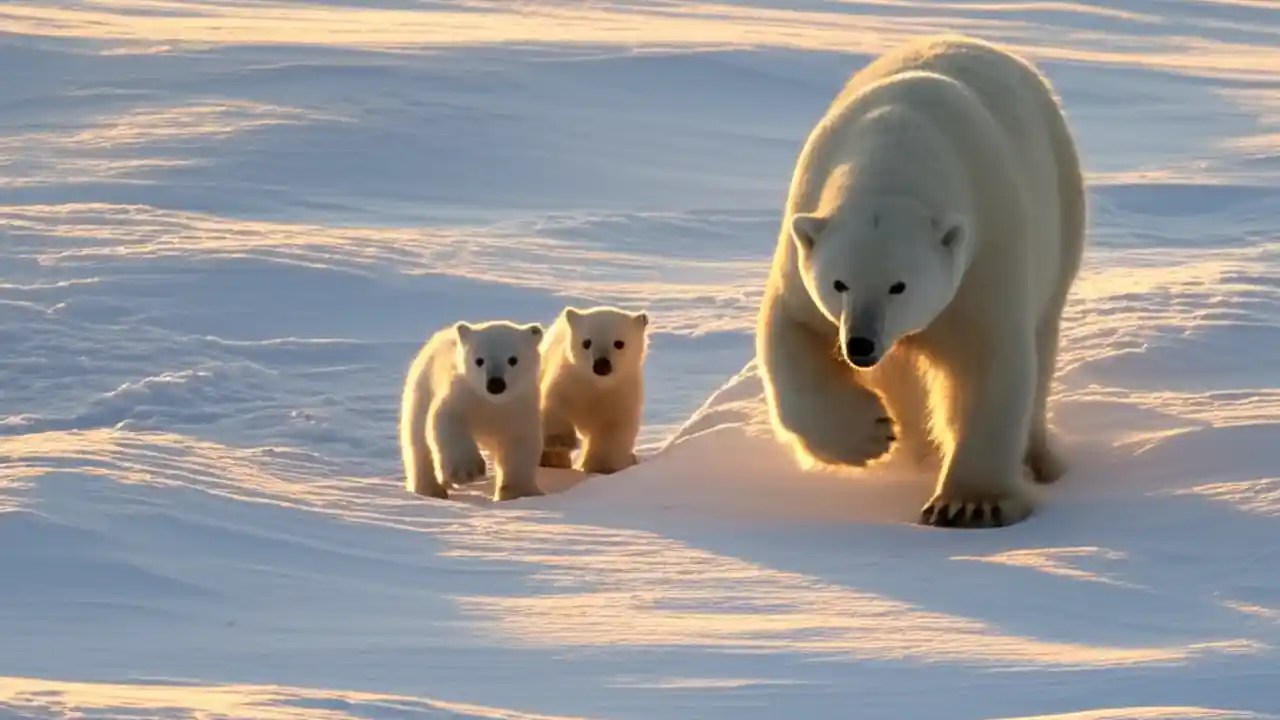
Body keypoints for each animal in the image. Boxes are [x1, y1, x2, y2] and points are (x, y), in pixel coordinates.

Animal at [399, 320, 546, 502]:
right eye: (479, 360)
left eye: (513, 359)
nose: (495, 384)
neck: (491, 403)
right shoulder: (463, 395)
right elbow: (447, 420)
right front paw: (466, 472)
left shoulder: (519, 406)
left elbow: (521, 441)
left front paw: (518, 493)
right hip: (421, 389)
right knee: (417, 445)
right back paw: (431, 489)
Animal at [538, 306, 649, 475]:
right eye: (586, 342)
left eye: (619, 343)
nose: (601, 364)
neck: (597, 385)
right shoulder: (567, 382)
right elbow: (554, 406)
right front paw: (560, 442)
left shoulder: (621, 394)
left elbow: (613, 431)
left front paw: (601, 466)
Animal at [756, 34, 1086, 528]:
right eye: (839, 283)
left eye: (899, 285)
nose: (860, 345)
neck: (895, 151)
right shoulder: (803, 251)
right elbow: (790, 331)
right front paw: (870, 434)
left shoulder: (987, 253)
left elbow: (988, 359)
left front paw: (970, 505)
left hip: (1062, 208)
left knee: (1041, 343)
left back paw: (1038, 460)